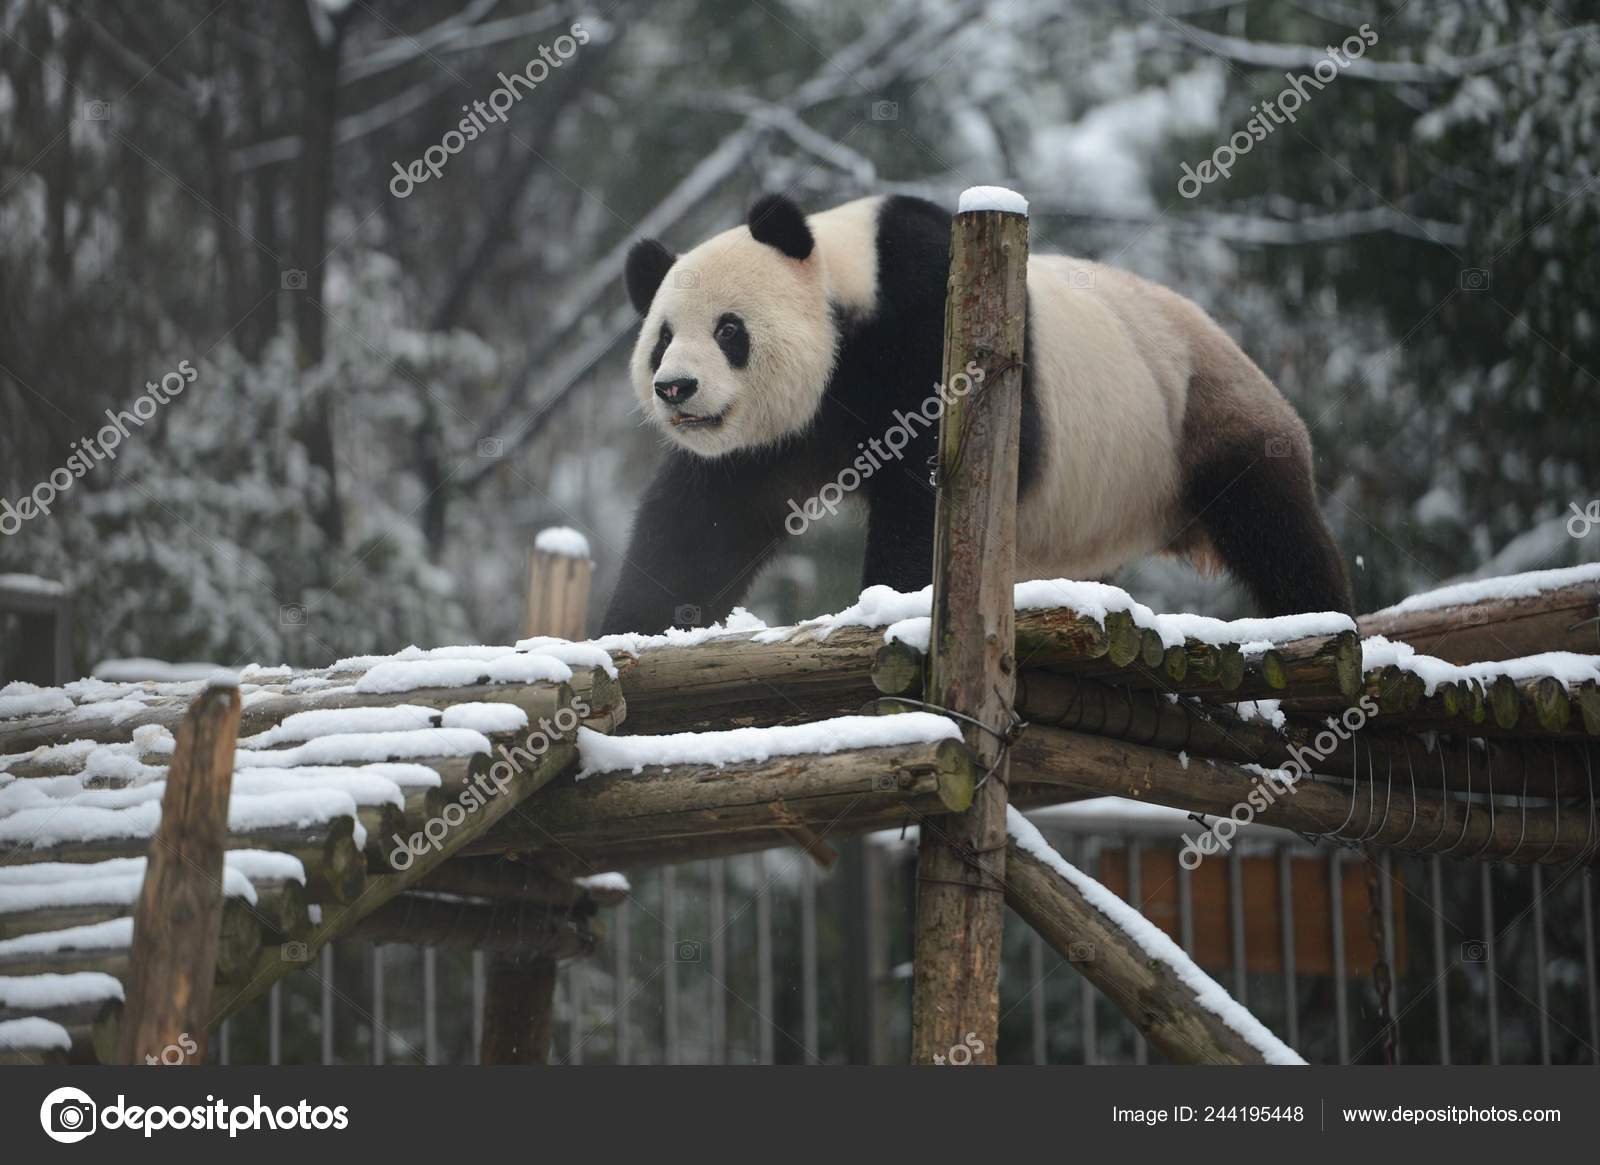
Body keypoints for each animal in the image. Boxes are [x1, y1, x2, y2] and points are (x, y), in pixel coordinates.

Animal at [600, 193, 1352, 635]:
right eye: (662, 337)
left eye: (729, 330)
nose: (676, 388)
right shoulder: (770, 439)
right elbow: (701, 527)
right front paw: (632, 630)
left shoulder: (926, 321)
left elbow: (930, 492)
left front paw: (898, 601)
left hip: (1205, 414)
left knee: (1277, 528)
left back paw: (1322, 621)